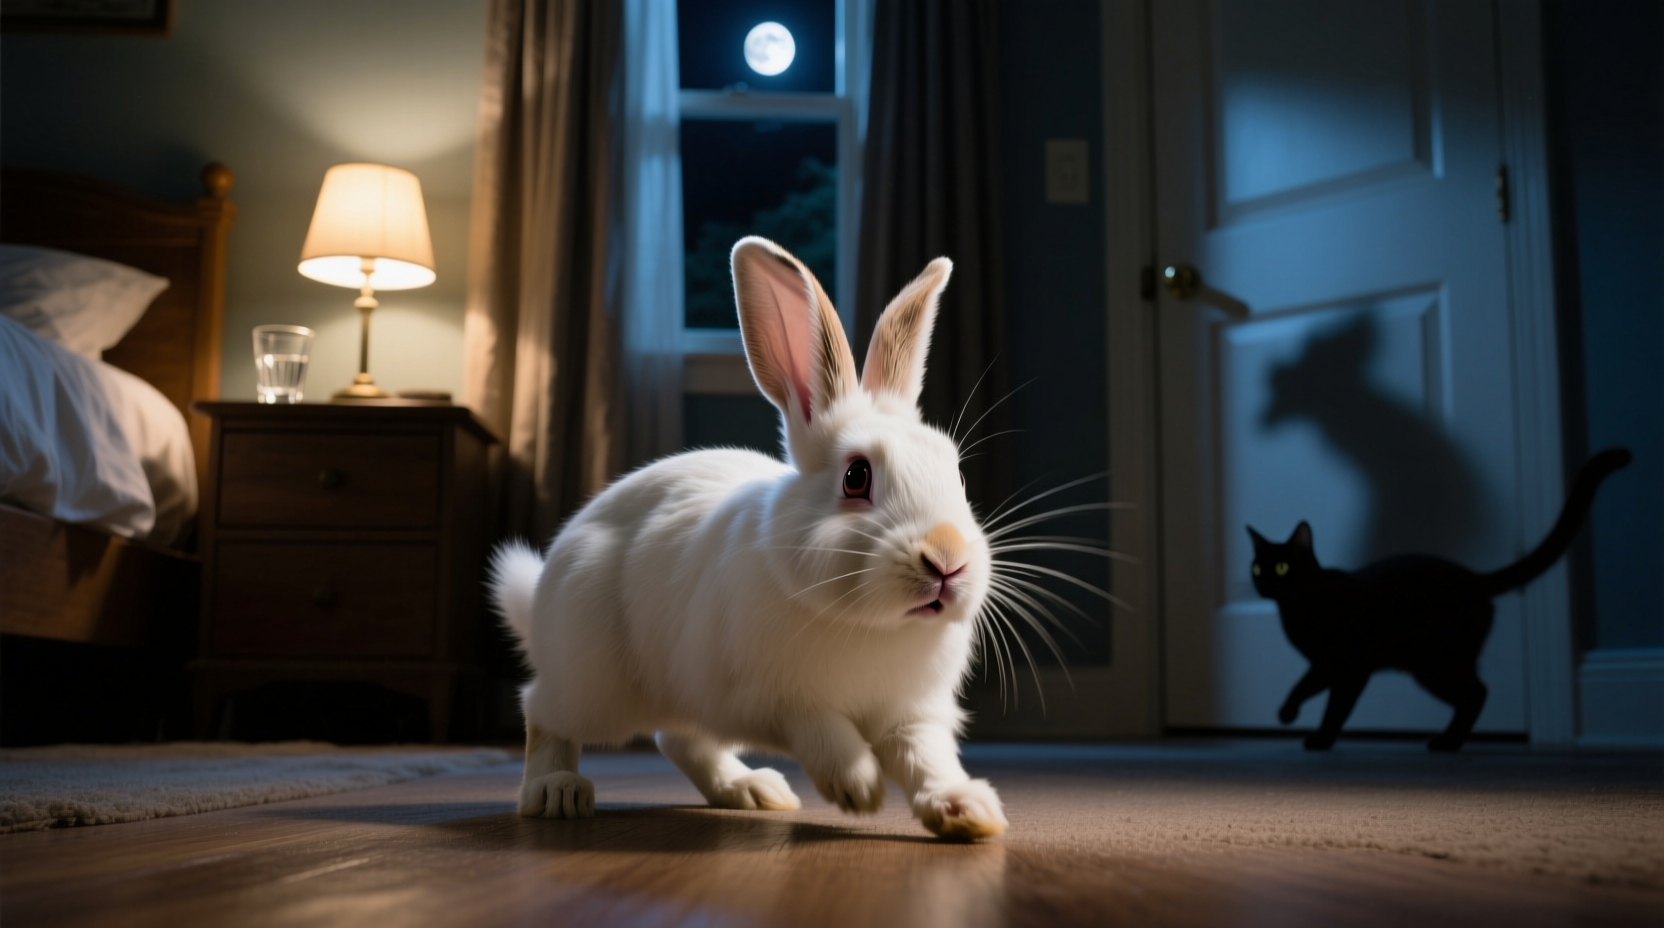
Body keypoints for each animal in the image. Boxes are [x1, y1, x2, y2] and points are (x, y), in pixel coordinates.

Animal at [488, 235, 1008, 840]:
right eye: (856, 477)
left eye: (958, 475)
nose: (947, 559)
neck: (875, 627)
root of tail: (541, 599)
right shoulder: (769, 698)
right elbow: (821, 728)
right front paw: (858, 787)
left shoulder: (914, 712)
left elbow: (926, 757)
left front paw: (967, 811)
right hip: (594, 682)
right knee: (543, 712)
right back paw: (557, 792)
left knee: (678, 737)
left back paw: (752, 790)